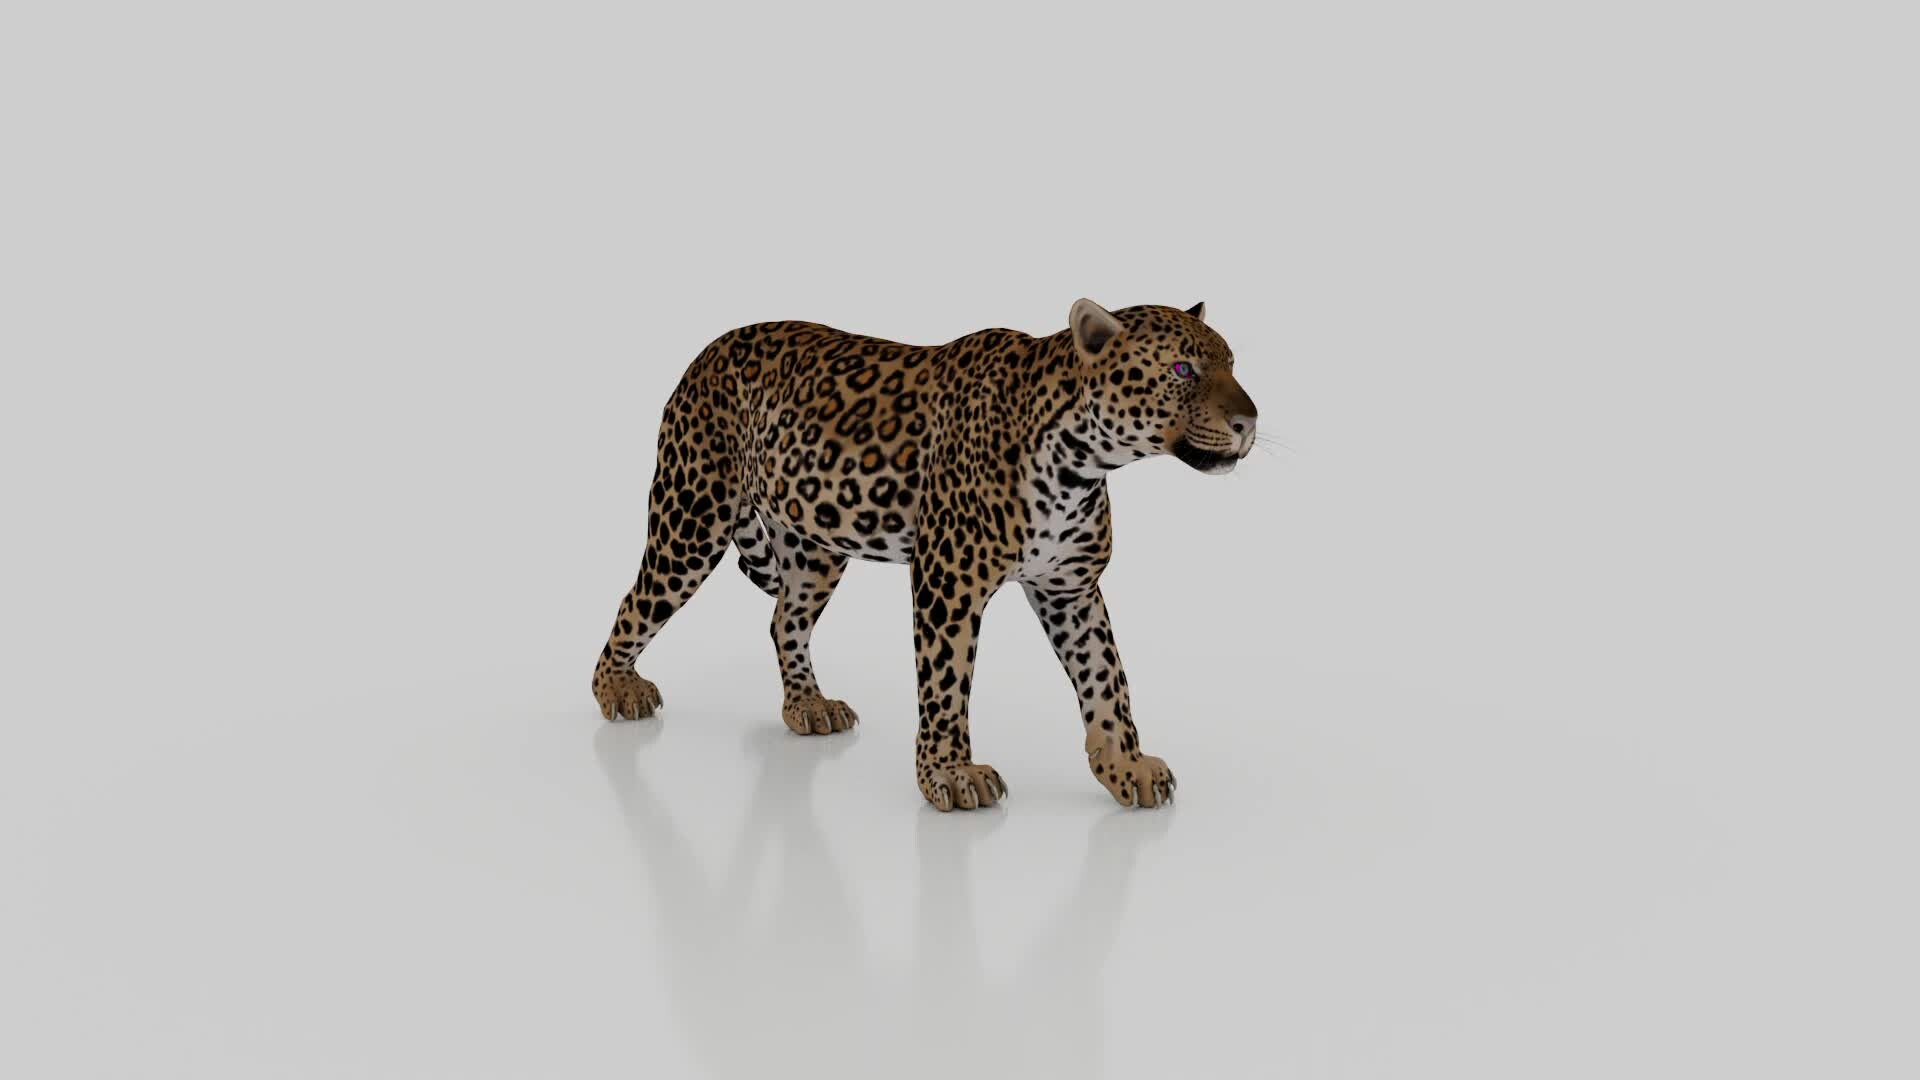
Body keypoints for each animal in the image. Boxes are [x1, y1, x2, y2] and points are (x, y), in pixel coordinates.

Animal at [591, 298, 1259, 811]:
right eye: (1183, 368)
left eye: (1231, 363)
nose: (1249, 422)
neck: (1081, 462)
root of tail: (709, 349)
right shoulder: (948, 582)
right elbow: (946, 685)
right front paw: (951, 775)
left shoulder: (1070, 587)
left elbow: (1108, 679)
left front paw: (1126, 766)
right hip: (692, 515)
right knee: (635, 603)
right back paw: (618, 689)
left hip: (815, 544)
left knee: (785, 619)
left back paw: (808, 704)